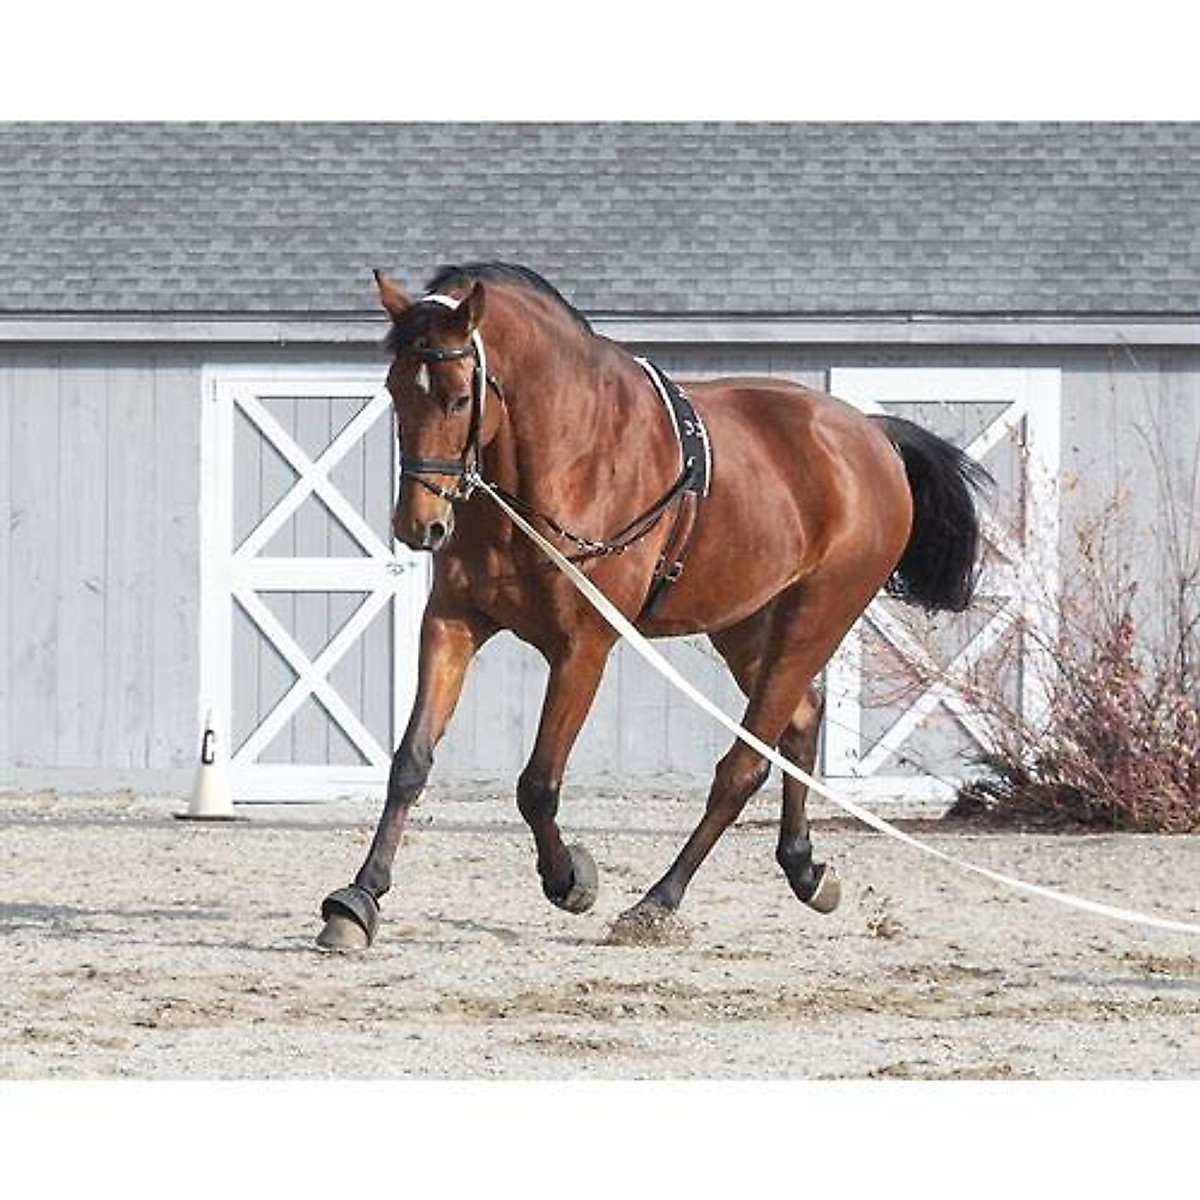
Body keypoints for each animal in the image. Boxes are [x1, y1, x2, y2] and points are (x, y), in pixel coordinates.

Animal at [316, 262, 988, 950]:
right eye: (396, 391)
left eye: (456, 397)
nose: (418, 525)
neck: (562, 456)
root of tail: (869, 437)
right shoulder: (453, 623)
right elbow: (410, 762)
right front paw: (359, 898)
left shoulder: (582, 647)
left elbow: (538, 784)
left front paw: (571, 880)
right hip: (745, 625)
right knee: (800, 720)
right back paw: (804, 870)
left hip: (814, 619)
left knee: (743, 767)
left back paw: (659, 901)